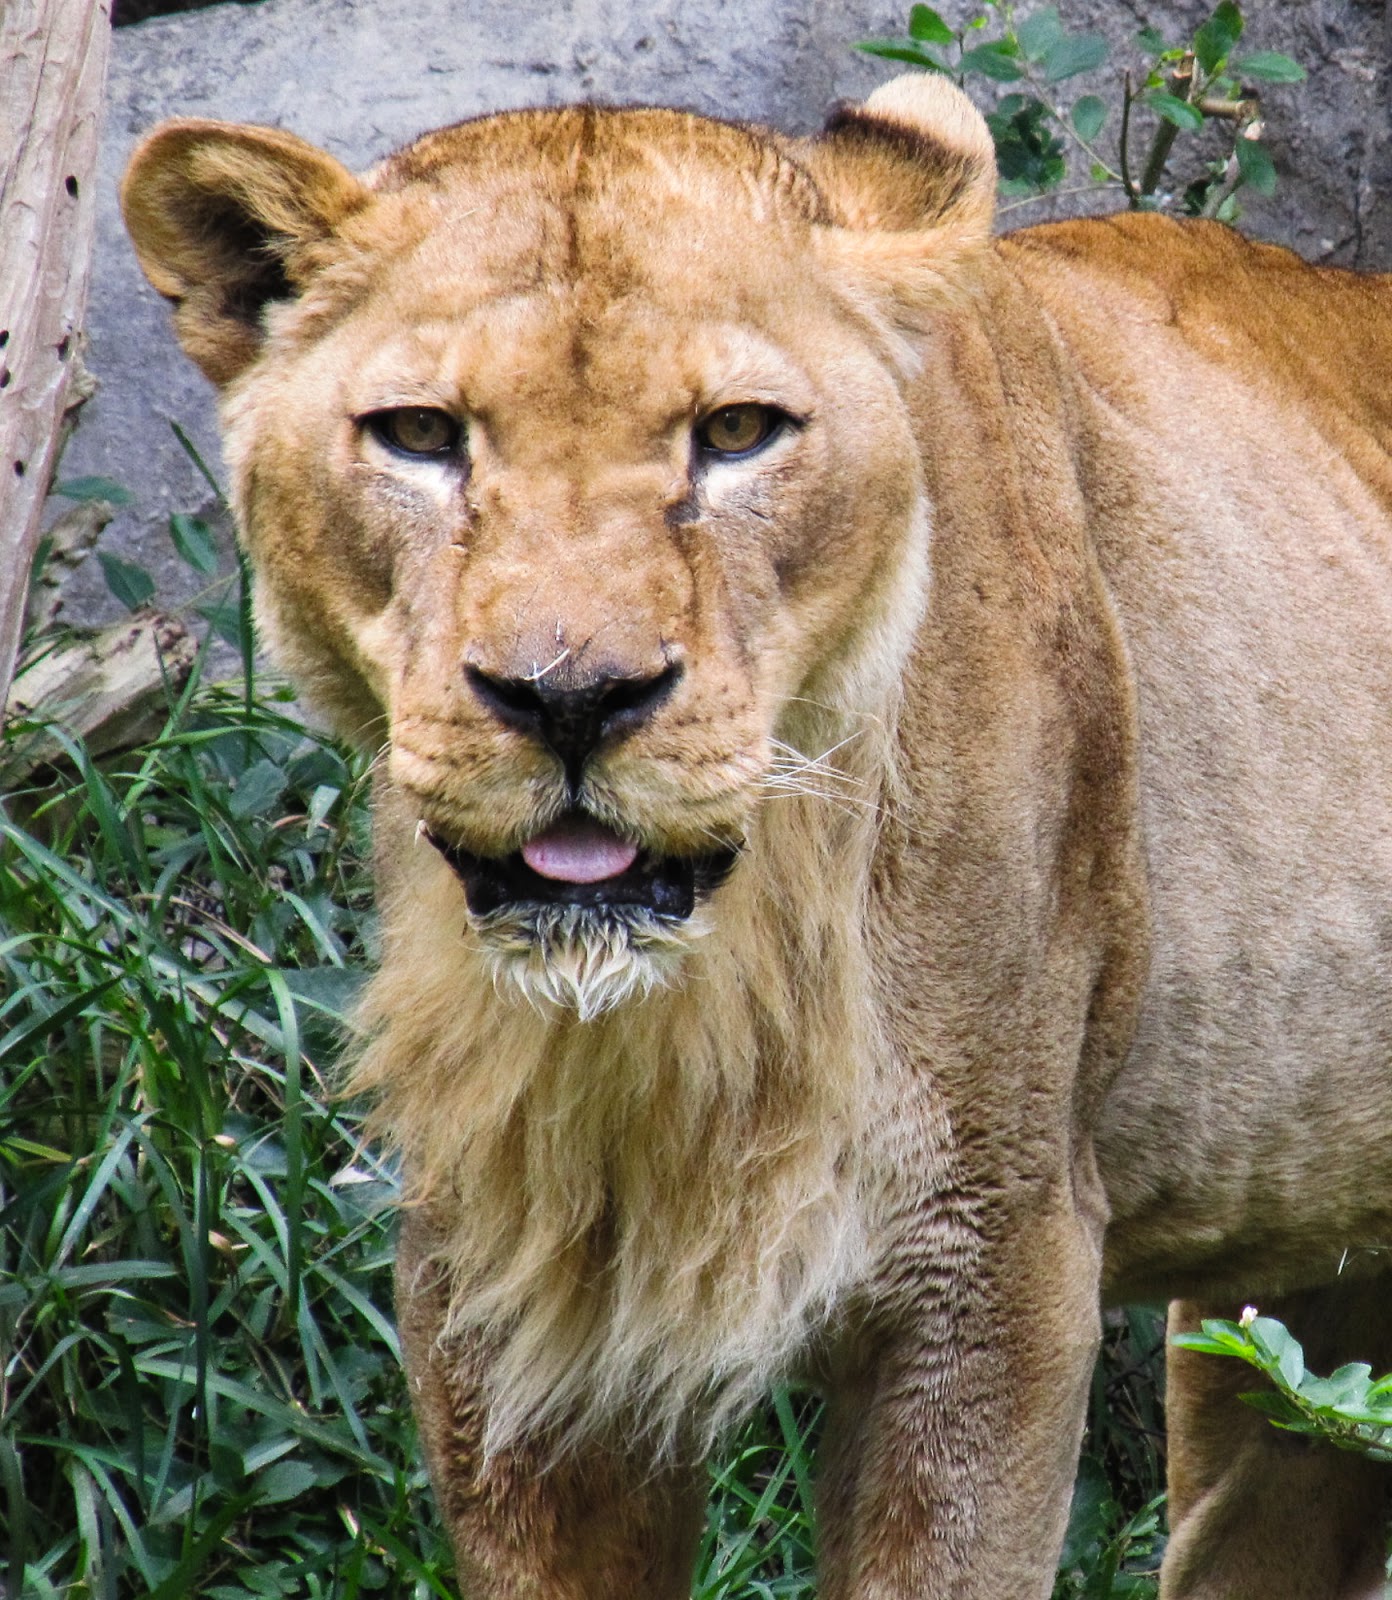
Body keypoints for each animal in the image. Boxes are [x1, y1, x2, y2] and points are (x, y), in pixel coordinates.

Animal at [120, 73, 1392, 1597]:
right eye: (421, 436)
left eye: (735, 434)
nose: (572, 696)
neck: (700, 997)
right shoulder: (503, 1294)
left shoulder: (995, 1262)